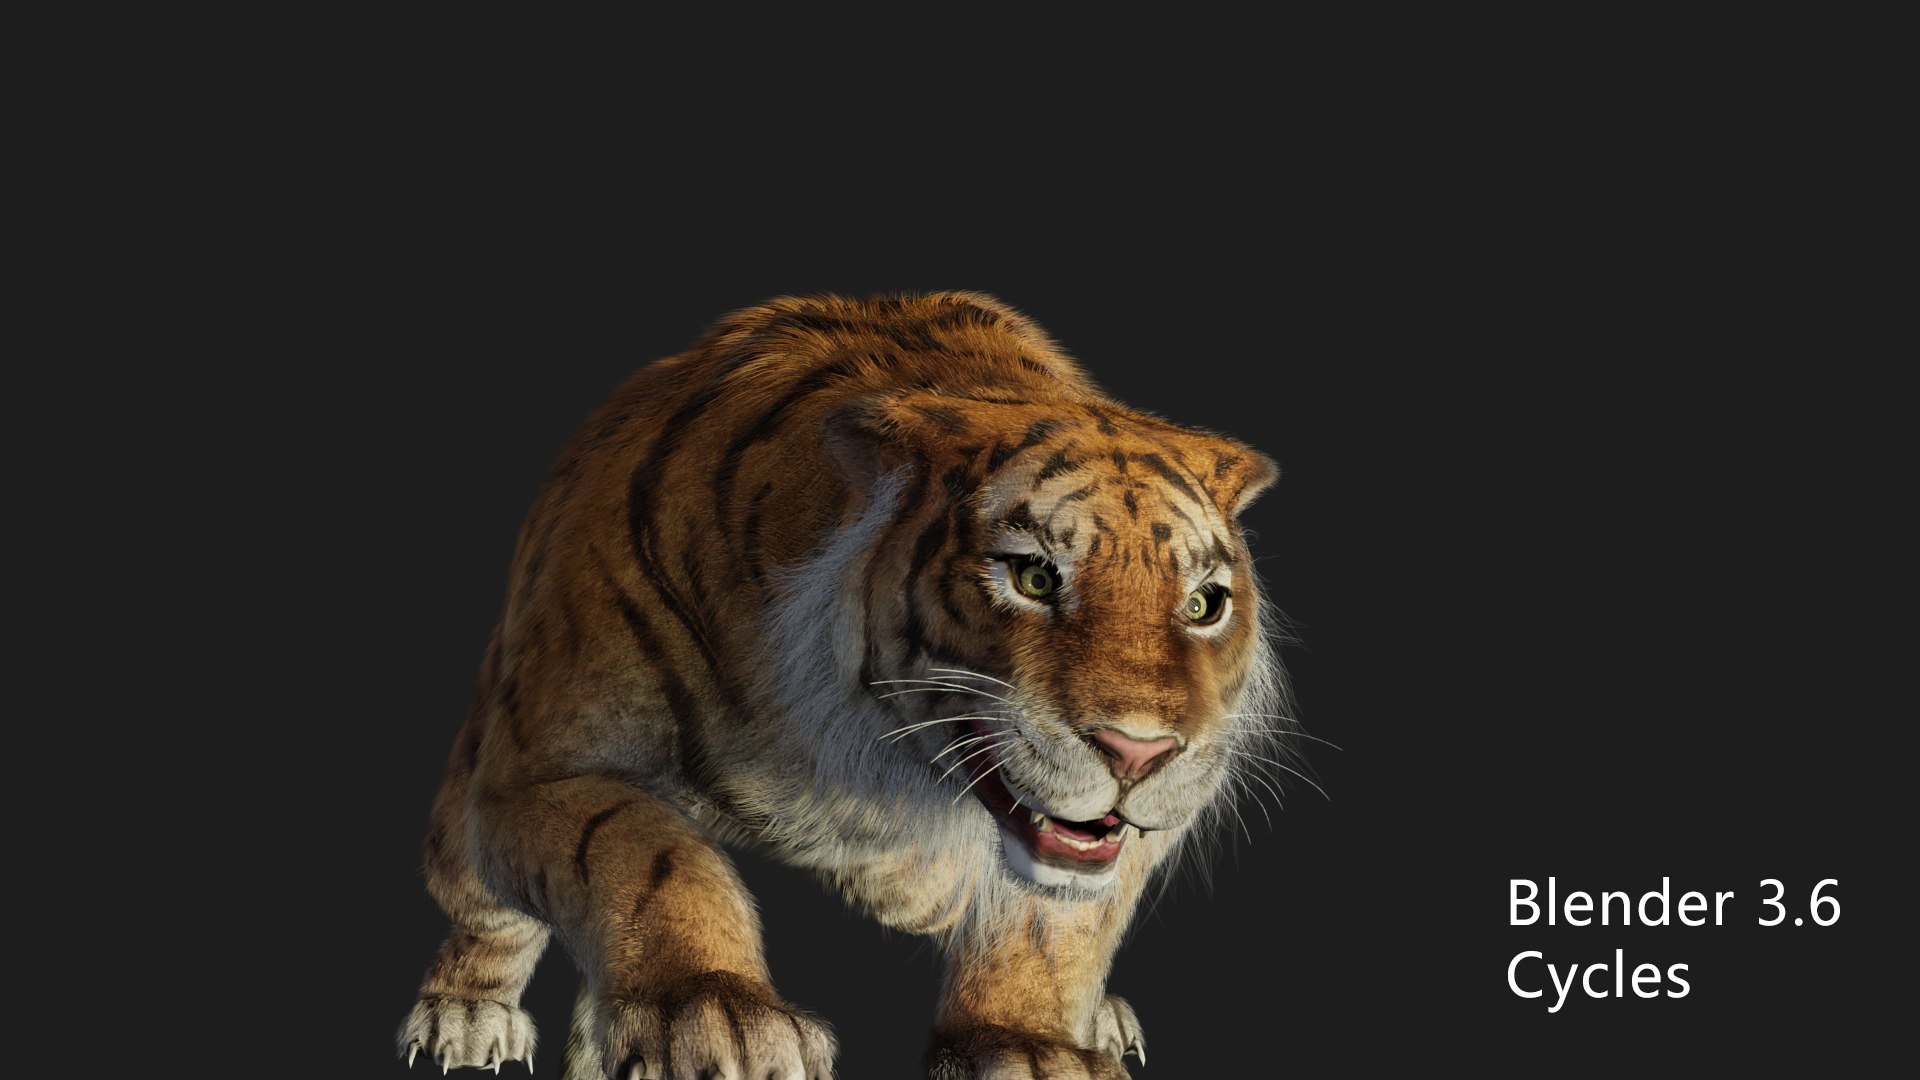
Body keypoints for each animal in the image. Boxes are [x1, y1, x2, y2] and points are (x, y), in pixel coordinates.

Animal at [397, 291, 1299, 1079]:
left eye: (1203, 604)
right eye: (1035, 577)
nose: (1138, 752)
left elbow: (1054, 926)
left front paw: (1028, 1045)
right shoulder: (536, 775)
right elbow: (649, 851)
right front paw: (716, 1015)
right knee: (483, 912)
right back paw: (467, 1016)